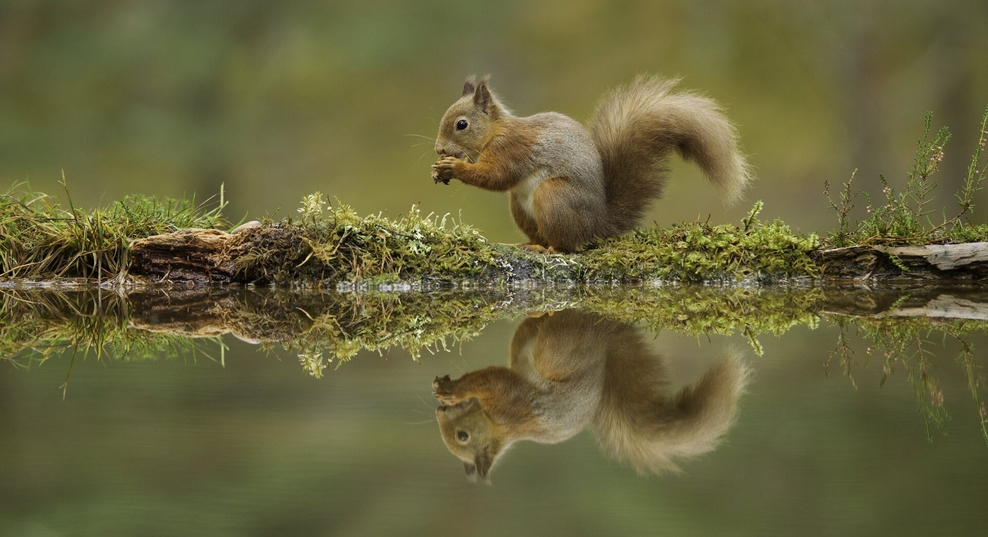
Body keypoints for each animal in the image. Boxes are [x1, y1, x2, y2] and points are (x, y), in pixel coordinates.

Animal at [431, 75, 752, 253]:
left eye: (462, 124)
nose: (438, 149)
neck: (494, 132)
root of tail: (598, 224)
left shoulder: (511, 150)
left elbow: (496, 176)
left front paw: (453, 167)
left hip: (553, 196)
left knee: (567, 245)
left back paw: (549, 250)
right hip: (520, 207)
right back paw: (529, 244)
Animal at [432, 310, 751, 482]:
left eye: (463, 436)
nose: (440, 413)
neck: (497, 428)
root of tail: (602, 357)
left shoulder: (508, 403)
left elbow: (491, 379)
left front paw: (453, 389)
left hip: (556, 353)